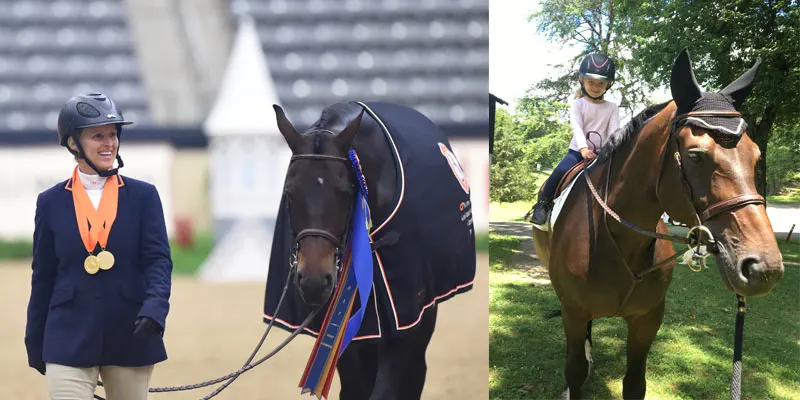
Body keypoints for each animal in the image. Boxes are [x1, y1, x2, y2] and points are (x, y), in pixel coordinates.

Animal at [530, 48, 784, 399]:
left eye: (756, 156)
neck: (617, 241)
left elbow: (635, 383)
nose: (763, 268)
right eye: (695, 156)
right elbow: (575, 371)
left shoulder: (647, 319)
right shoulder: (574, 311)